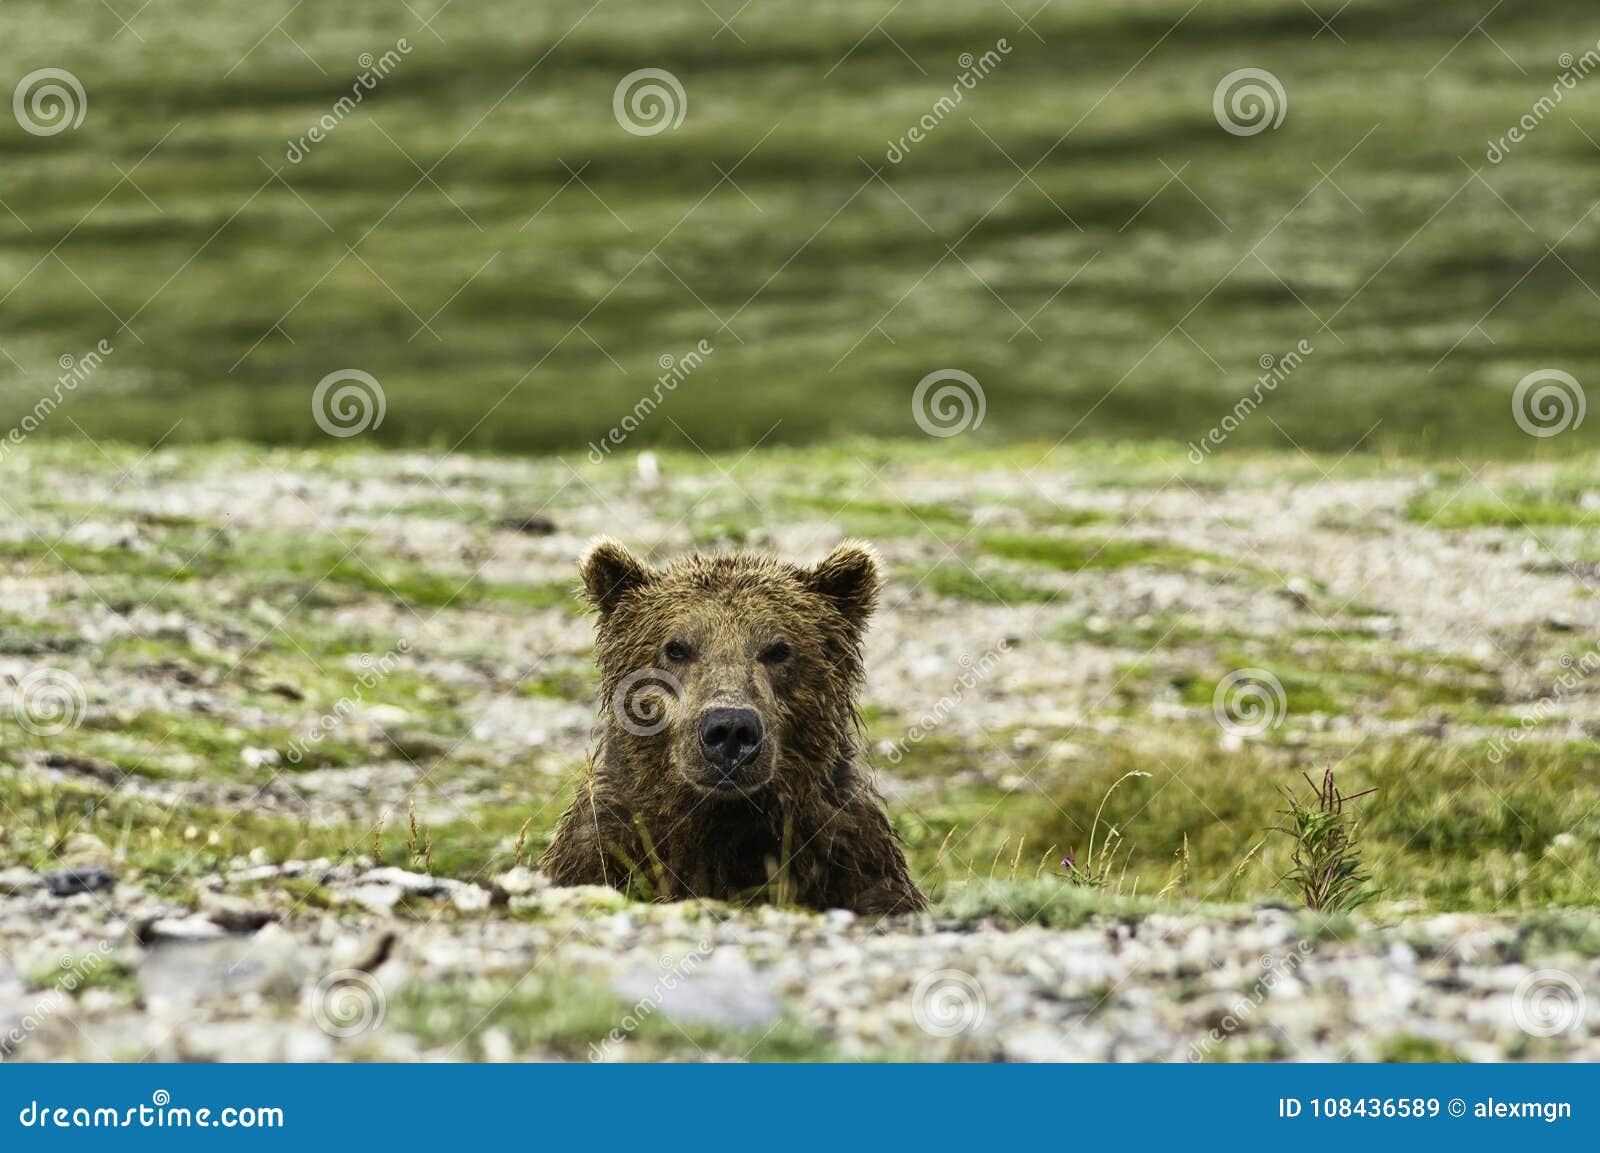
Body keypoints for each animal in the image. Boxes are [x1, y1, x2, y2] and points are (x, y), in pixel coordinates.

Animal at [540, 538, 926, 916]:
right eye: (676, 648)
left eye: (779, 649)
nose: (729, 729)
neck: (721, 824)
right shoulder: (604, 849)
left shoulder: (851, 861)